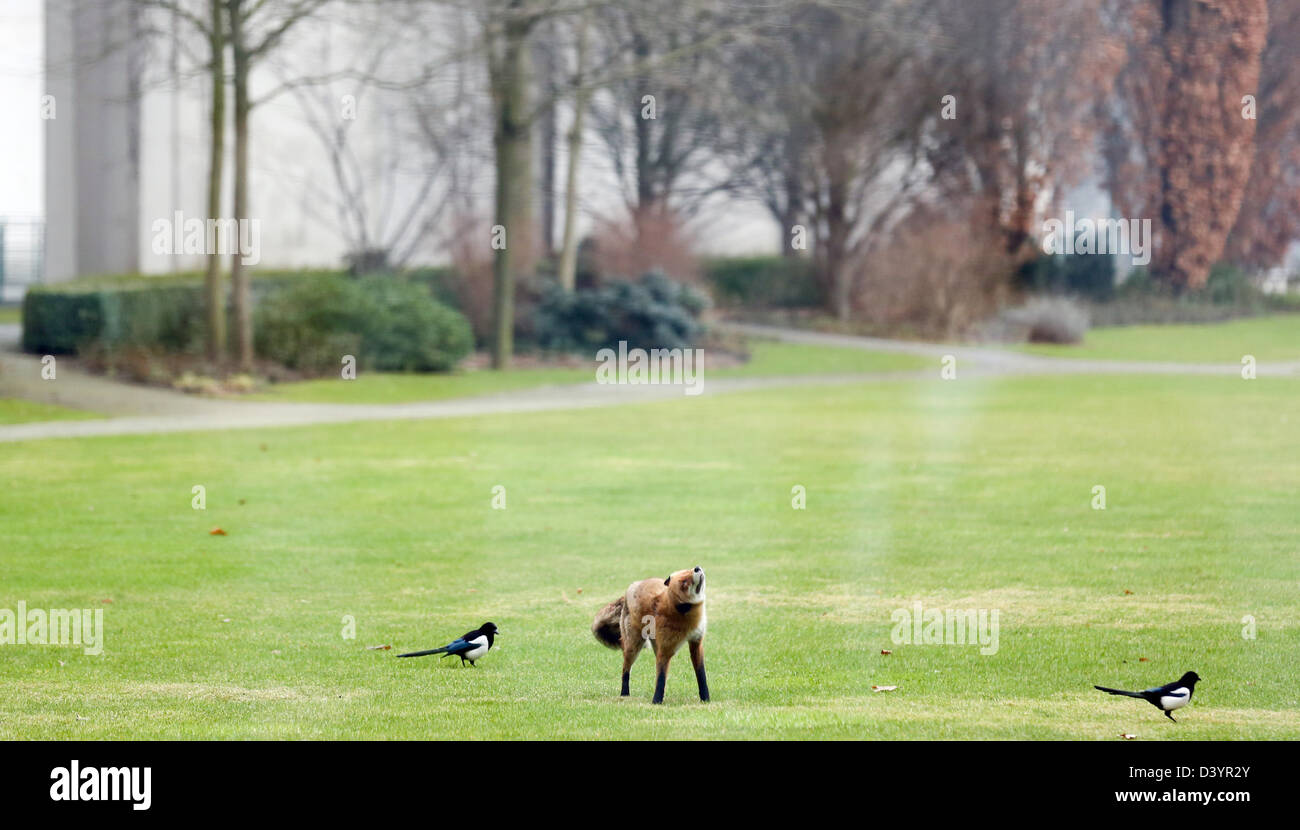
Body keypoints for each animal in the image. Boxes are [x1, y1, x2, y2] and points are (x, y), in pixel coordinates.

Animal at [592, 566, 708, 704]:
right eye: (684, 583)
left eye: (686, 571)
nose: (697, 568)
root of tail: (633, 585)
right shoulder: (665, 650)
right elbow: (661, 678)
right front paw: (656, 701)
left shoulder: (696, 643)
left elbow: (701, 675)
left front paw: (706, 698)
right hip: (633, 647)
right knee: (625, 670)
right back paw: (624, 693)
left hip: (654, 646)